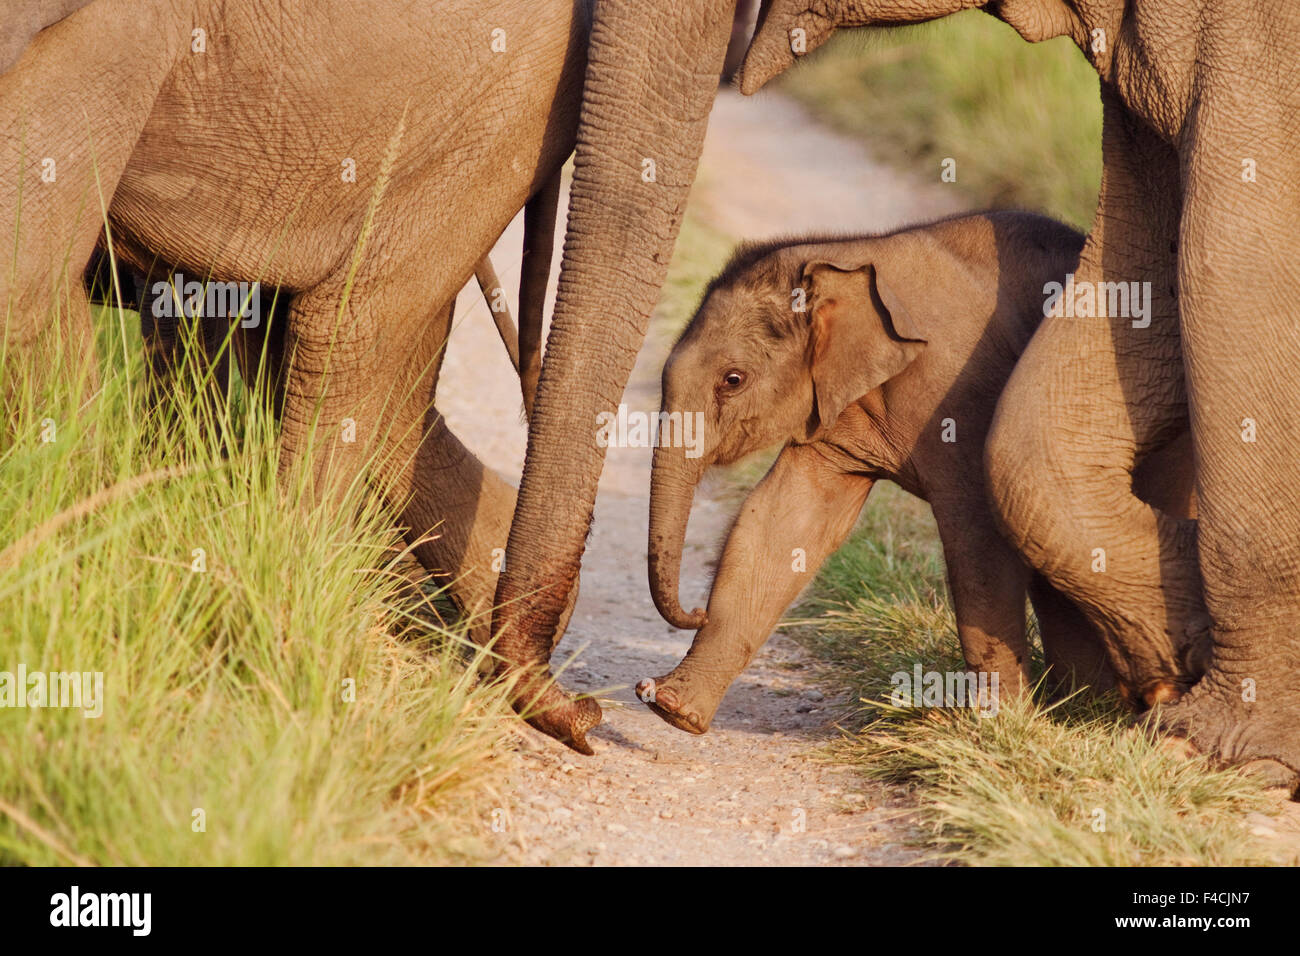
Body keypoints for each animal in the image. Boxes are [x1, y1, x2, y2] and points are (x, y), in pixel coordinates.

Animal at [637, 210, 1199, 734]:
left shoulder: (961, 392)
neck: (844, 256)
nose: (694, 611)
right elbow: (780, 520)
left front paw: (996, 723)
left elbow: (977, 538)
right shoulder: (835, 408)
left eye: (732, 380)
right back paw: (1088, 709)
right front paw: (674, 710)